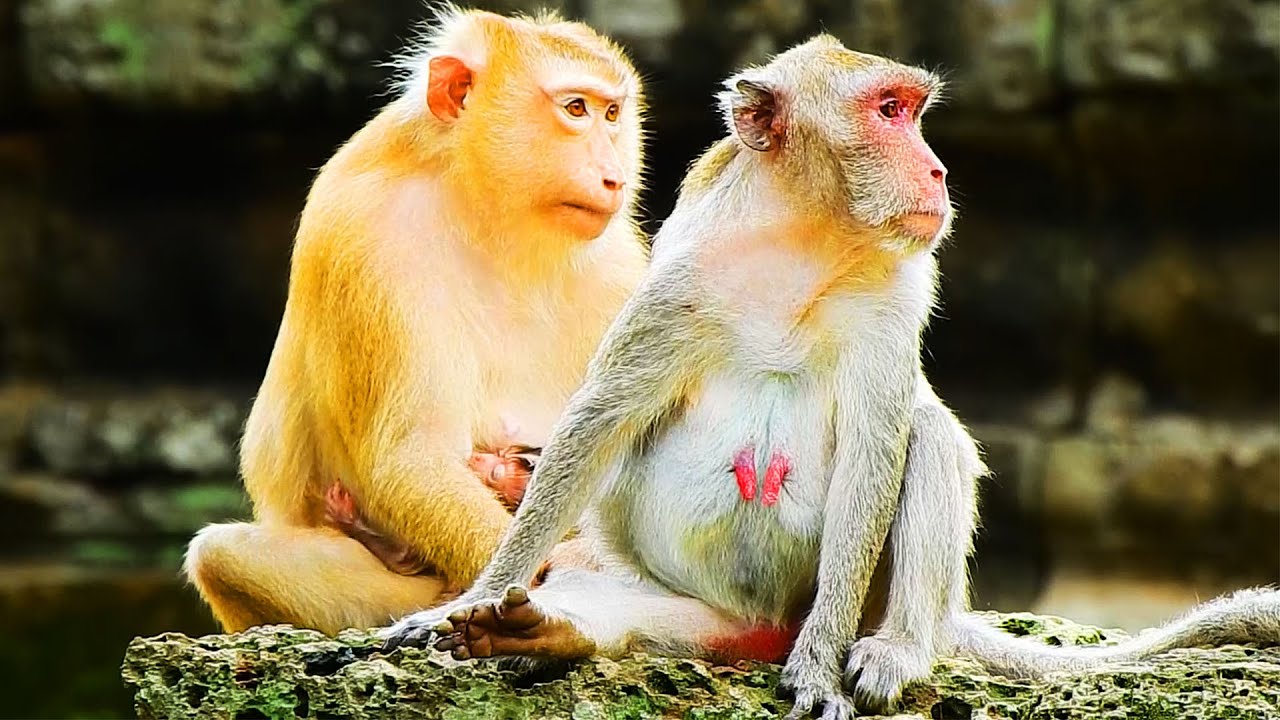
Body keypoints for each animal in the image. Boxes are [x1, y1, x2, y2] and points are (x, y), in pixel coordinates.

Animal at [182, 7, 649, 636]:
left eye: (612, 113)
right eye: (575, 109)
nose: (612, 175)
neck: (485, 213)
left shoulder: (620, 265)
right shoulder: (370, 237)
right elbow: (409, 457)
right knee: (223, 556)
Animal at [378, 35, 1280, 719]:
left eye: (912, 111)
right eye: (889, 112)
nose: (938, 173)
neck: (805, 241)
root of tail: (760, 628)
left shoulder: (898, 293)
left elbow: (877, 450)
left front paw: (818, 670)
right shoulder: (678, 276)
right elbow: (598, 425)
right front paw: (470, 604)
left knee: (925, 433)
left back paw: (894, 648)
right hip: (693, 612)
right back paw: (546, 633)